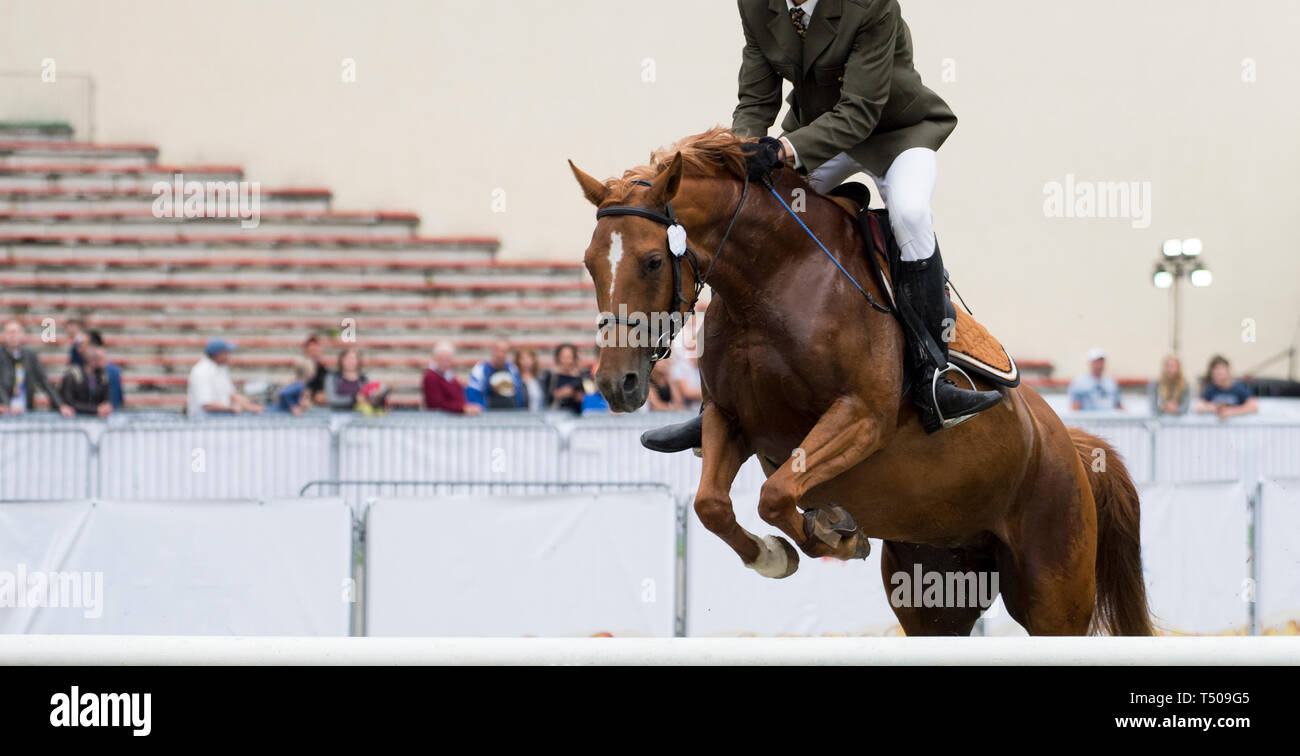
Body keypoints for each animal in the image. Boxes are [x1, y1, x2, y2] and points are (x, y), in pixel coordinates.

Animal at [569, 128, 1152, 636]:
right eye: (590, 264)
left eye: (651, 261)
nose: (616, 384)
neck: (768, 283)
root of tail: (1070, 444)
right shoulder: (729, 419)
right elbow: (711, 503)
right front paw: (776, 554)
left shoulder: (861, 416)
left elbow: (776, 494)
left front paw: (834, 533)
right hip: (933, 589)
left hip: (1054, 589)